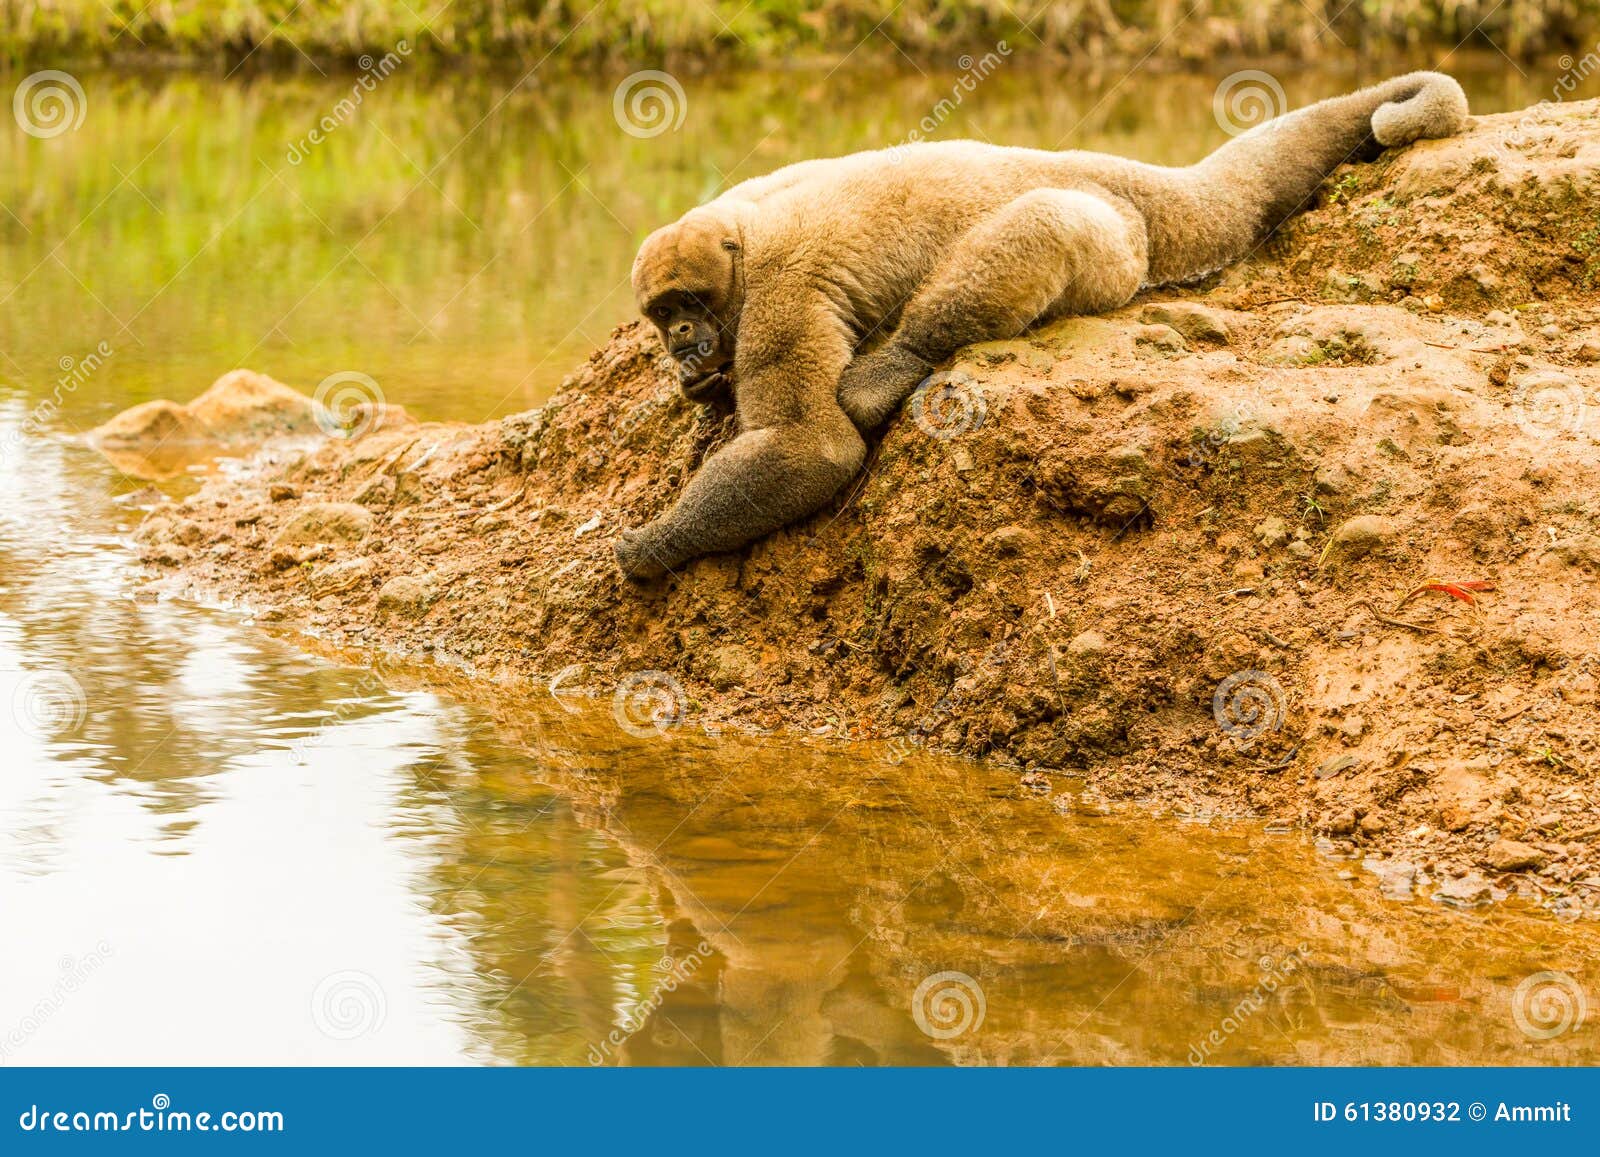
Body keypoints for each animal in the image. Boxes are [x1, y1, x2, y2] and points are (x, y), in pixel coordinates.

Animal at [615, 71, 1468, 580]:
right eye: (661, 317)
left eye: (689, 308)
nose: (681, 345)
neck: (741, 239)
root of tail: (1101, 166)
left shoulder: (778, 301)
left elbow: (812, 447)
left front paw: (653, 545)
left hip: (1108, 235)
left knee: (1043, 222)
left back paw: (896, 363)